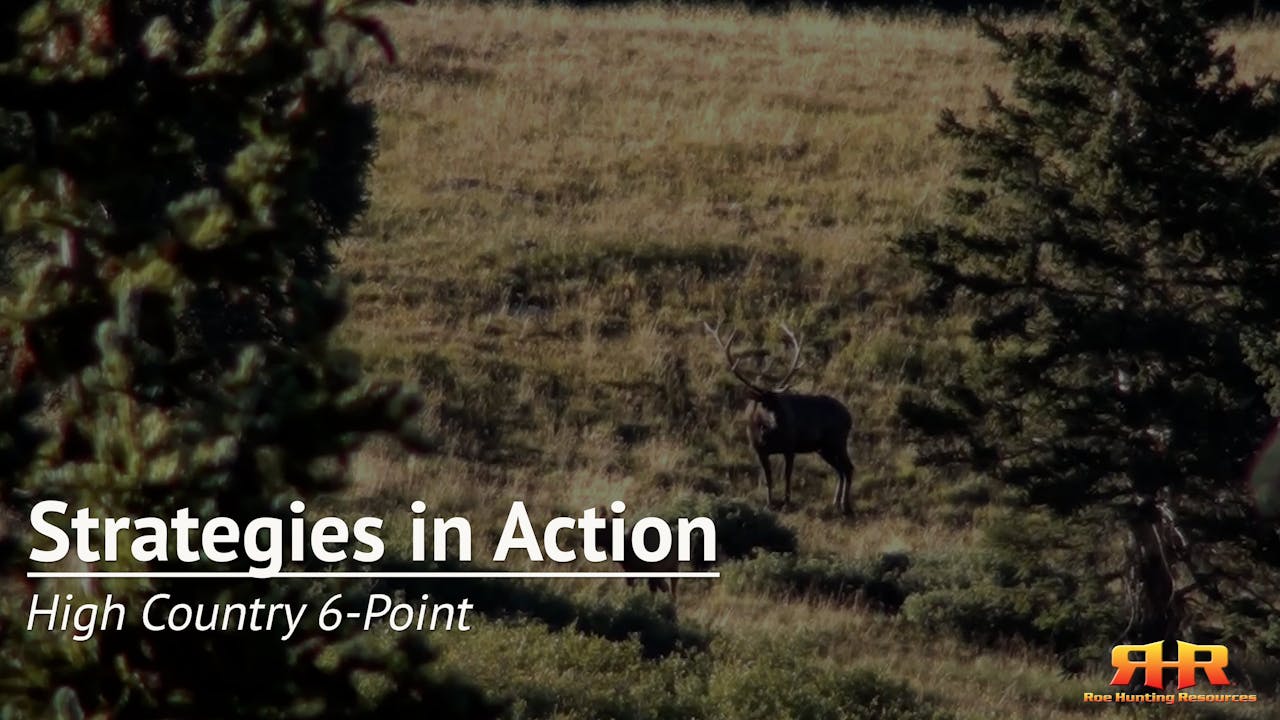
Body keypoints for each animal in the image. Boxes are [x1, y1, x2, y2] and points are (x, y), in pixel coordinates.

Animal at [704, 321, 855, 514]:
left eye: (779, 403)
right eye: (764, 404)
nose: (777, 423)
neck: (768, 437)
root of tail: (849, 416)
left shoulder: (790, 447)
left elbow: (787, 475)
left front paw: (786, 503)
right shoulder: (759, 450)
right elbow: (768, 477)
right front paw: (770, 503)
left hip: (837, 440)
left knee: (848, 468)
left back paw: (845, 505)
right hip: (824, 447)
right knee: (840, 470)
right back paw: (835, 502)